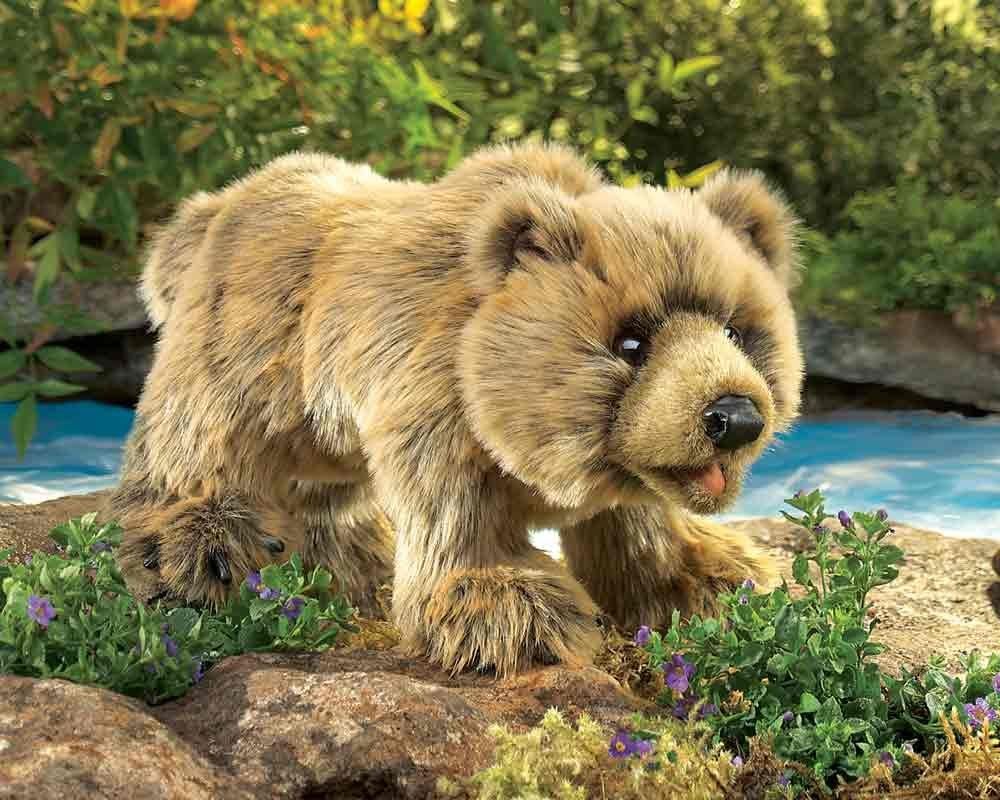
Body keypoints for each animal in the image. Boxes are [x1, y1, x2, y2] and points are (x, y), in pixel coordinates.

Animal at [107, 142, 803, 675]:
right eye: (631, 341)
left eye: (737, 330)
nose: (734, 417)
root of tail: (212, 206)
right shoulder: (433, 398)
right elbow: (456, 515)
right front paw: (516, 611)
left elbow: (637, 528)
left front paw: (718, 576)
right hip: (249, 342)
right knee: (198, 438)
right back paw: (199, 549)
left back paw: (356, 567)